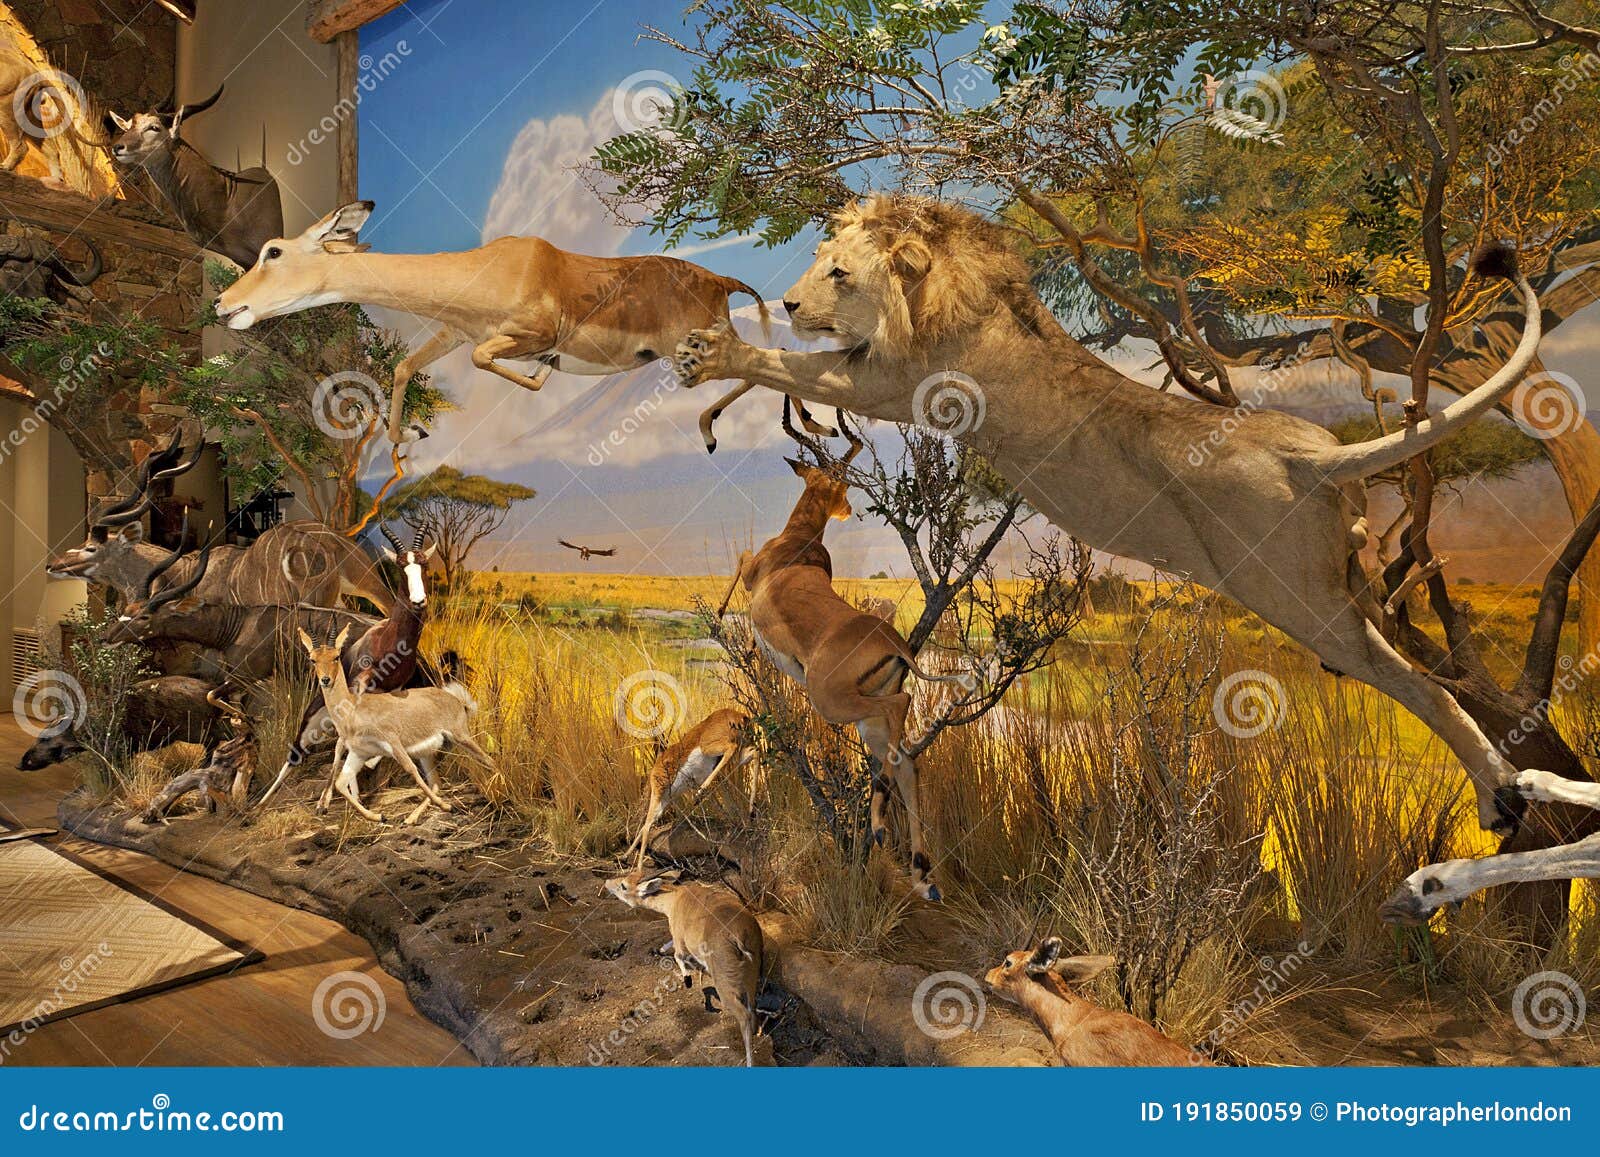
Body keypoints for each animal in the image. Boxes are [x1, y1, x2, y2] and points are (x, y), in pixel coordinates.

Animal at [210, 200, 835, 453]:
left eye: (272, 250)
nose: (221, 304)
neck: (485, 269)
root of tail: (718, 278)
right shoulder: (455, 333)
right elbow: (405, 365)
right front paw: (409, 436)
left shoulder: (527, 334)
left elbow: (491, 362)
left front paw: (541, 375)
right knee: (767, 366)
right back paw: (807, 426)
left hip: (695, 343)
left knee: (759, 368)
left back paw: (719, 432)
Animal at [299, 626, 491, 824]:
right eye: (313, 658)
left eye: (336, 656)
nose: (325, 680)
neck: (353, 709)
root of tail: (459, 701)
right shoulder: (359, 753)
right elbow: (340, 783)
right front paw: (378, 816)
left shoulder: (393, 742)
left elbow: (410, 768)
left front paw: (447, 806)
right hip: (427, 754)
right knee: (436, 782)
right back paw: (411, 818)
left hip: (462, 737)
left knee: (488, 760)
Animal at [603, 869, 764, 1067]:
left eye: (624, 885)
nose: (607, 882)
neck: (674, 898)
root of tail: (739, 938)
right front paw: (659, 951)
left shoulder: (678, 937)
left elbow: (678, 957)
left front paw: (688, 980)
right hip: (751, 976)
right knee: (752, 1007)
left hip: (726, 983)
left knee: (744, 1015)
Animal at [623, 707, 758, 868]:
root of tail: (737, 715)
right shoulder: (664, 801)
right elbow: (646, 826)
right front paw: (624, 857)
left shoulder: (658, 796)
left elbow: (646, 826)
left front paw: (637, 868)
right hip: (741, 749)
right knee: (753, 754)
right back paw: (747, 815)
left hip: (710, 748)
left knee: (731, 749)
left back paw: (701, 795)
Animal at [717, 419, 963, 901]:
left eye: (843, 480)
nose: (848, 509)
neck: (798, 543)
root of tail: (894, 641)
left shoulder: (752, 571)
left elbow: (738, 559)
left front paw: (720, 619)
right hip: (867, 720)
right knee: (907, 762)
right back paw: (922, 876)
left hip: (837, 702)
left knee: (902, 715)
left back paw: (883, 830)